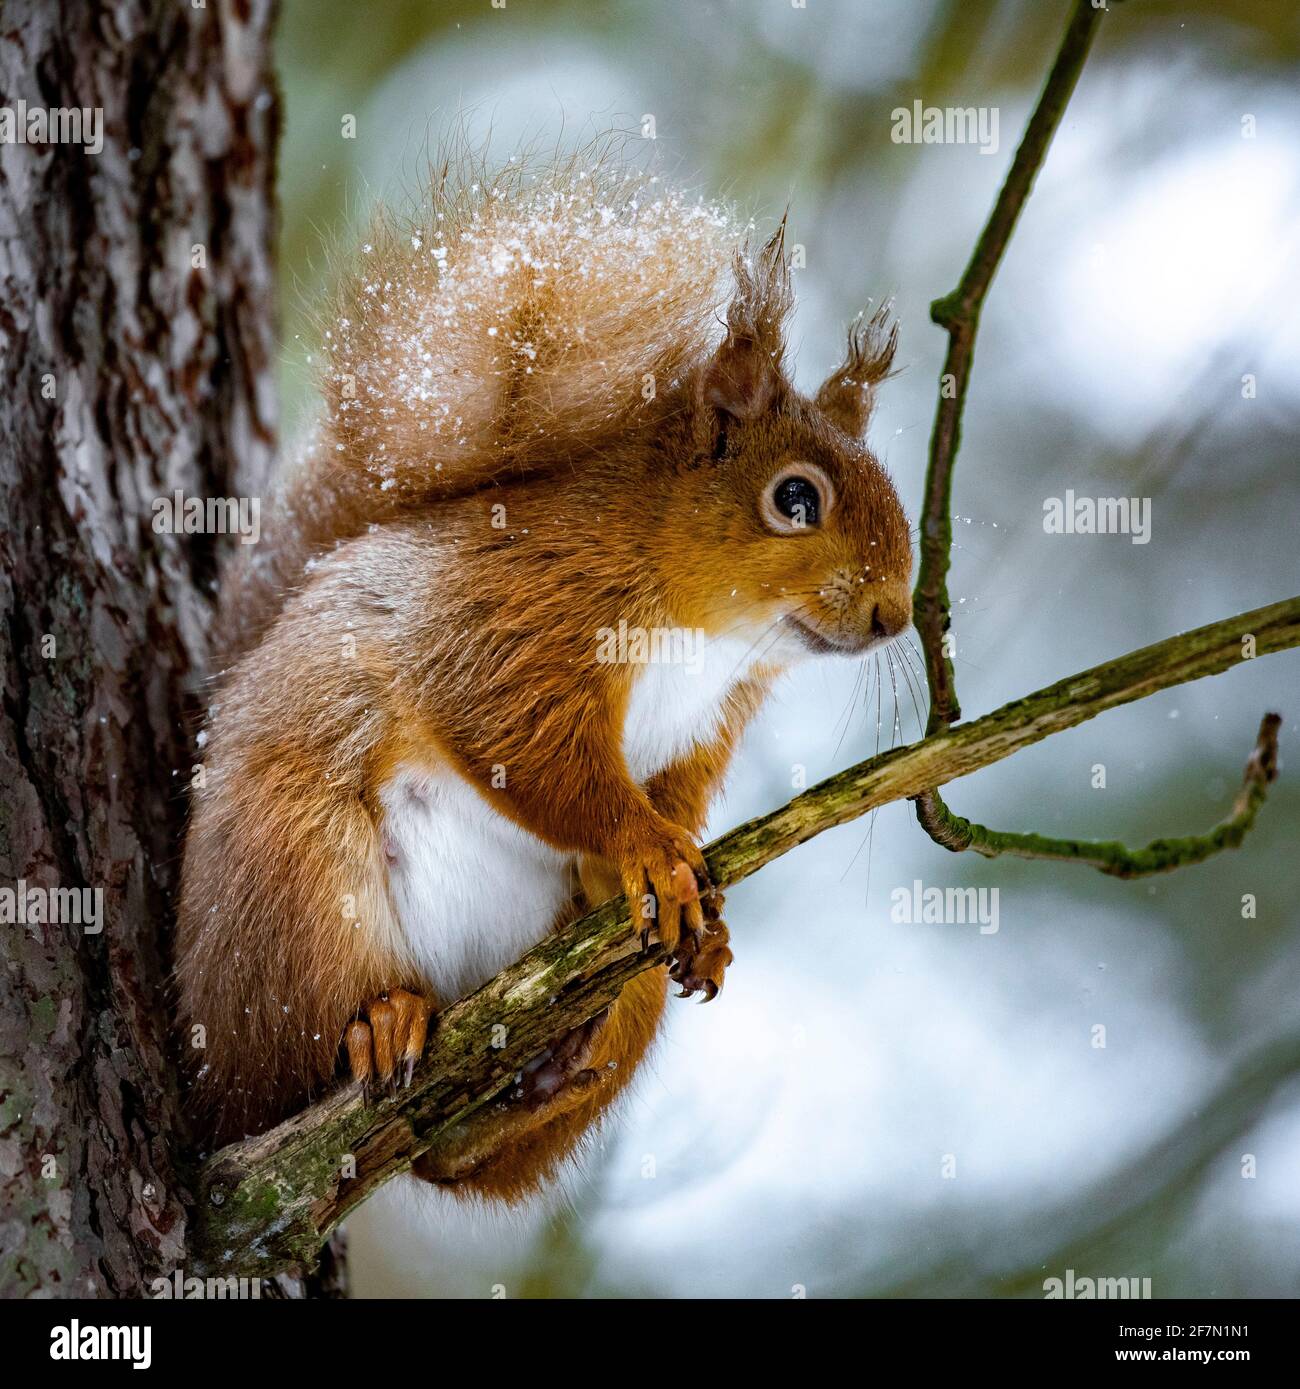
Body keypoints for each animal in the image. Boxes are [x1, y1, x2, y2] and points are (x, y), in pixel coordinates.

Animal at [176, 150, 913, 1202]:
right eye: (796, 500)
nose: (897, 613)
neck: (714, 630)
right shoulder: (520, 611)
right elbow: (524, 744)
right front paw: (647, 847)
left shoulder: (704, 721)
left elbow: (666, 791)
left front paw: (677, 886)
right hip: (298, 880)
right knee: (302, 1068)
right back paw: (382, 1021)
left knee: (465, 1153)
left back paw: (555, 1063)